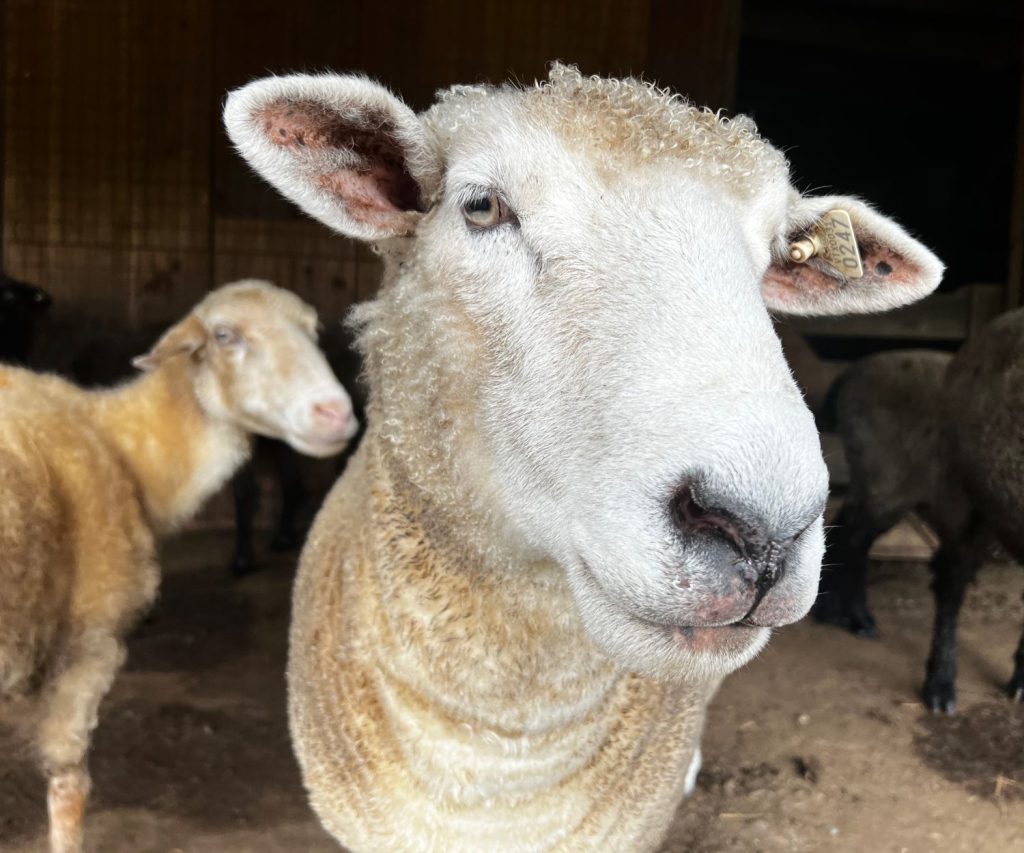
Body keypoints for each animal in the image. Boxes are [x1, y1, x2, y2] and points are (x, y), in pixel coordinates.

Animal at [0, 279, 357, 853]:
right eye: (225, 335)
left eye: (313, 330)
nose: (336, 413)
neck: (125, 450)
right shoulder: (89, 644)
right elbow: (70, 786)